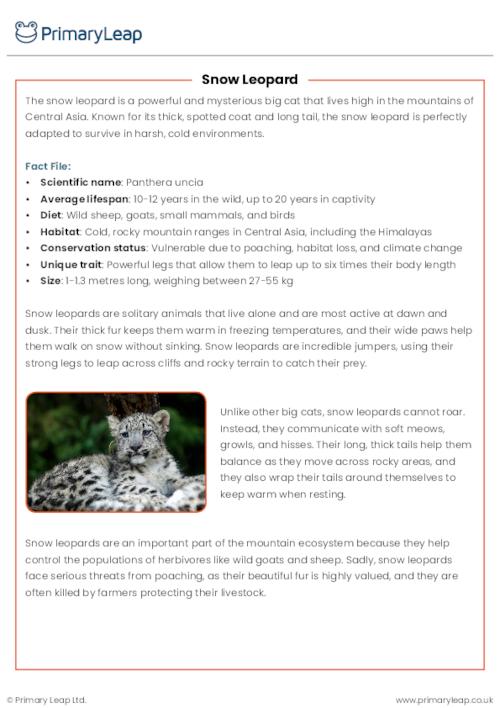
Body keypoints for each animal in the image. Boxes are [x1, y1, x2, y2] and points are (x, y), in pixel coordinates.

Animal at [28, 410, 205, 512]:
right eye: (125, 434)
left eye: (146, 432)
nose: (135, 447)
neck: (151, 465)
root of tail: (33, 491)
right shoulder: (123, 483)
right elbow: (146, 488)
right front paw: (160, 497)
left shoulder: (171, 477)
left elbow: (183, 480)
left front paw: (192, 481)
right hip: (87, 475)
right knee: (101, 501)